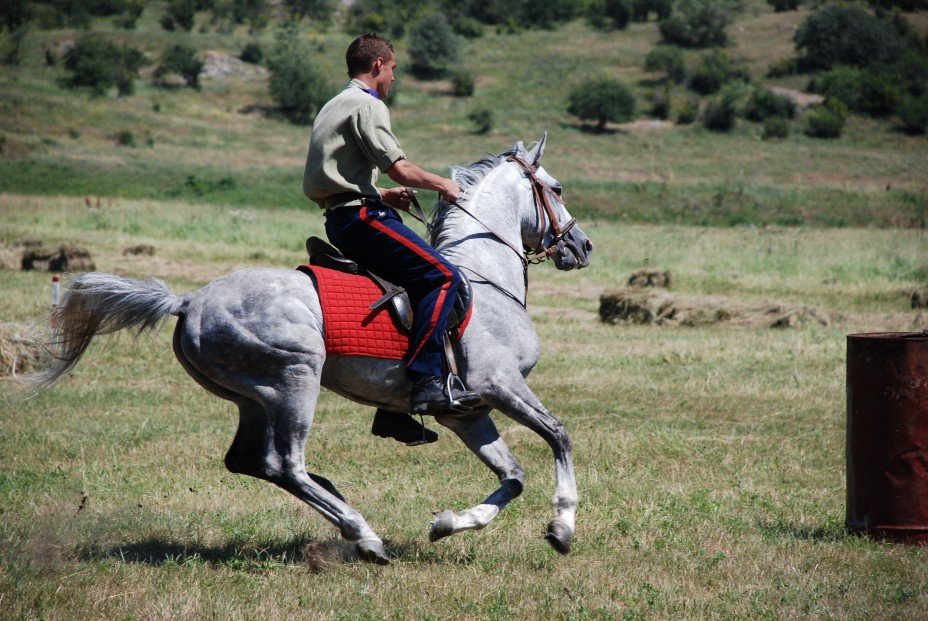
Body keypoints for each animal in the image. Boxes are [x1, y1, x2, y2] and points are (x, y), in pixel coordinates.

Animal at [34, 133, 596, 564]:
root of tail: (189, 301)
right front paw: (562, 527)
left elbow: (513, 476)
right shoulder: (499, 385)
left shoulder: (466, 411)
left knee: (252, 462)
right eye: (557, 189)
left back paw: (345, 513)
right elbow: (559, 436)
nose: (582, 245)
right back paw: (364, 534)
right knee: (285, 464)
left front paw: (447, 523)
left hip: (253, 397)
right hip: (296, 379)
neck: (484, 277)